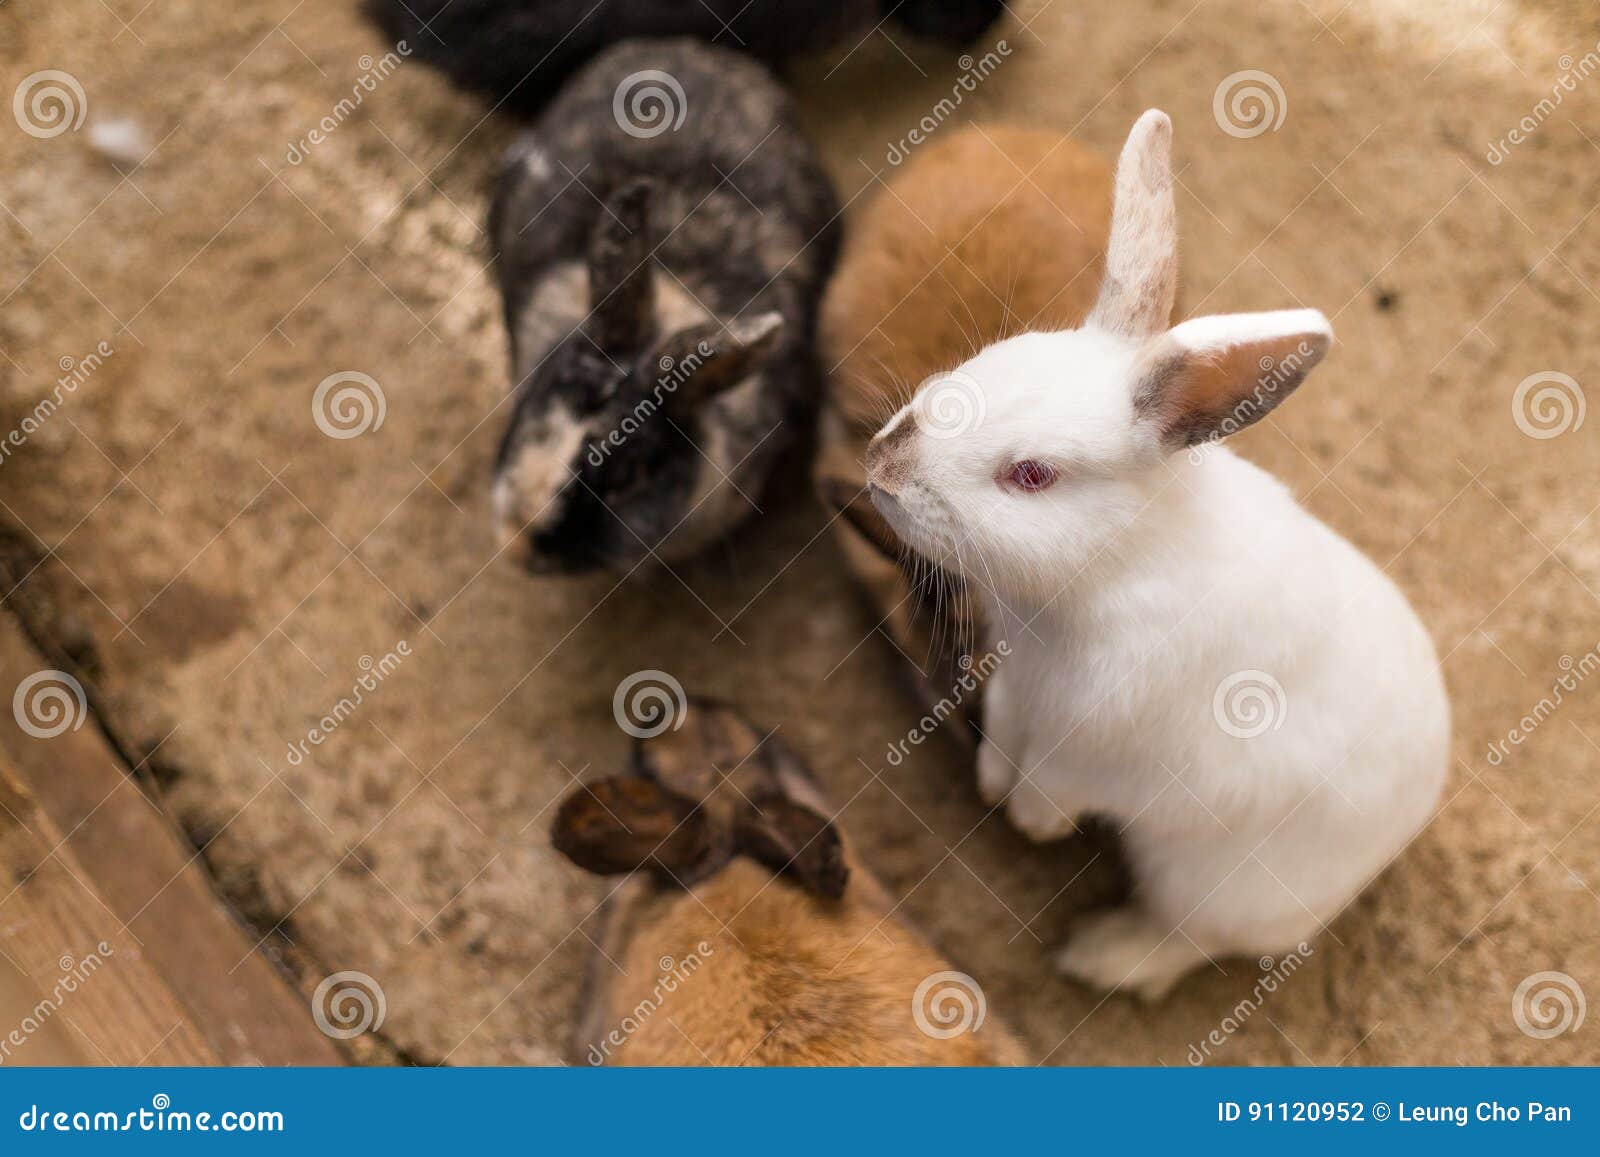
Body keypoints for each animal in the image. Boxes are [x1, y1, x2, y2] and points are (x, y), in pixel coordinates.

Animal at [861, 110, 1450, 999]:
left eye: (1031, 474)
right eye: (977, 364)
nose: (881, 468)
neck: (1111, 569)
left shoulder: (1104, 750)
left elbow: (1059, 785)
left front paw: (1030, 821)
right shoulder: (1020, 685)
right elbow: (1003, 728)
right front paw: (992, 782)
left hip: (1207, 882)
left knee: (1191, 940)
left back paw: (1100, 953)